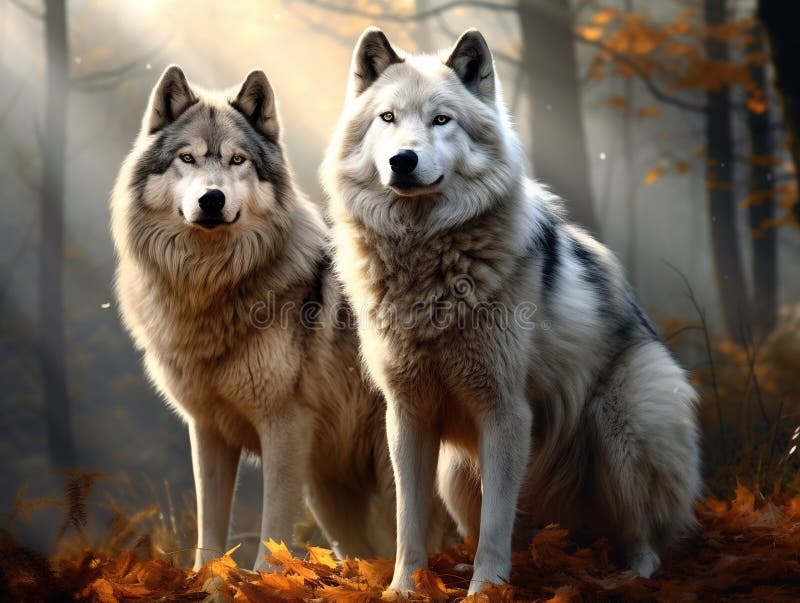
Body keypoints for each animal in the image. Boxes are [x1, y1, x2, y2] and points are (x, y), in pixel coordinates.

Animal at [111, 66, 400, 570]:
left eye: (237, 160)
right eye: (187, 158)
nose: (211, 198)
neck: (211, 287)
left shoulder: (284, 427)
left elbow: (273, 535)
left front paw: (265, 579)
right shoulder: (207, 432)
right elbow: (209, 531)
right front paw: (208, 581)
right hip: (329, 493)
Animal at [322, 28, 701, 595]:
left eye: (441, 120)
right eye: (388, 118)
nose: (403, 160)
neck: (427, 263)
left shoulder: (505, 413)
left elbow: (497, 522)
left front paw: (486, 591)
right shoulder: (406, 416)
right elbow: (409, 520)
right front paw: (405, 587)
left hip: (623, 431)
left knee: (642, 535)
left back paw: (629, 576)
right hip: (456, 472)